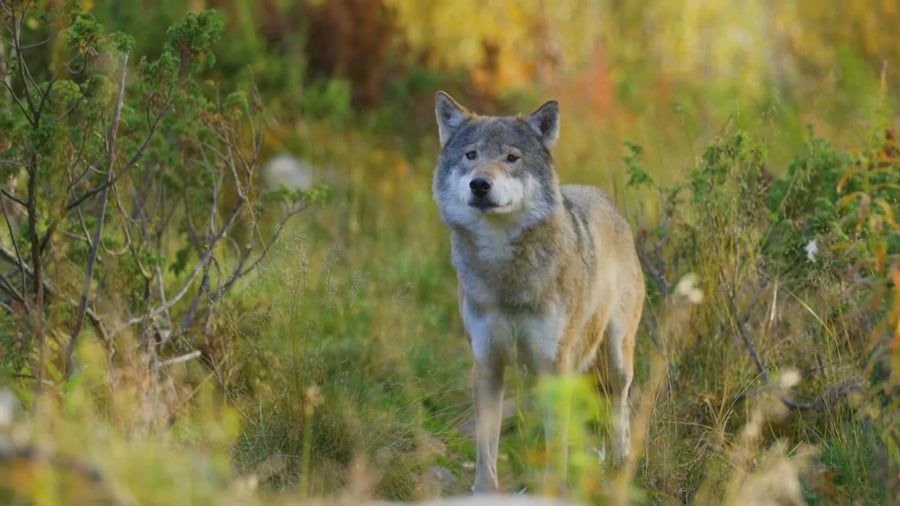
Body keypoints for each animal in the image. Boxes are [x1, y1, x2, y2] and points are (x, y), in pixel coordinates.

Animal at [432, 91, 645, 493]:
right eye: (471, 155)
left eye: (512, 158)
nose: (479, 184)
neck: (504, 272)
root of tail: (601, 195)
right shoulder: (487, 363)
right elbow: (486, 447)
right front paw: (484, 492)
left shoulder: (554, 365)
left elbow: (555, 445)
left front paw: (553, 490)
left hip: (615, 357)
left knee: (619, 409)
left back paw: (618, 465)